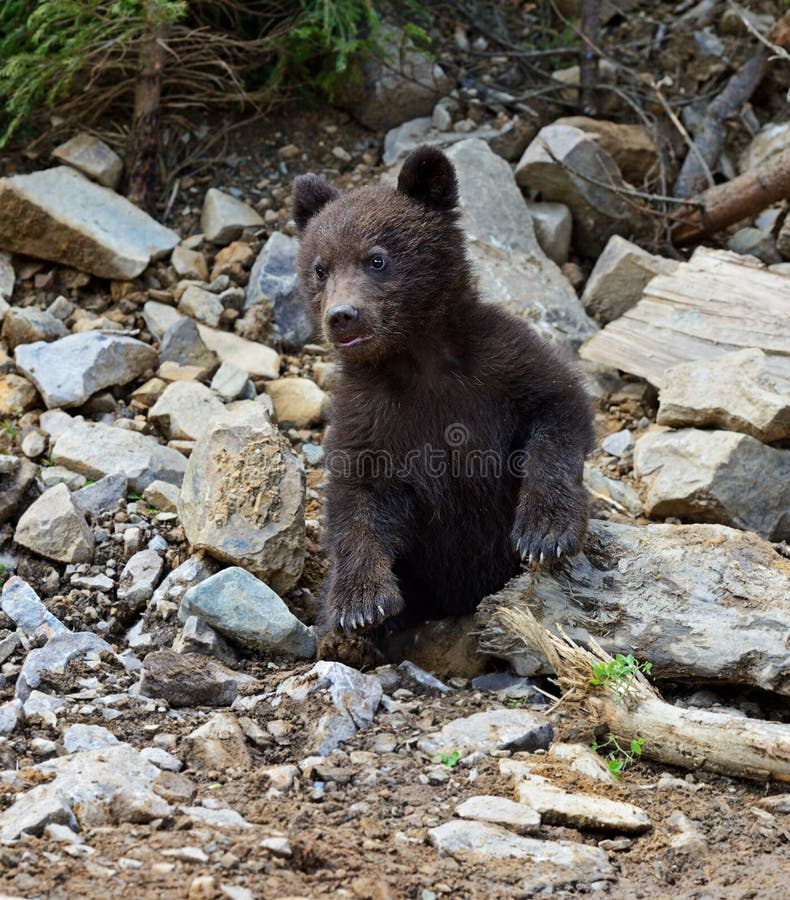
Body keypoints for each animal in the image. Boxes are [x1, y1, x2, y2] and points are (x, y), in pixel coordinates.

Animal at [292, 145, 594, 654]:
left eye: (376, 259)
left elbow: (558, 410)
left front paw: (545, 531)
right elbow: (356, 496)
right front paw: (359, 606)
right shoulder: (368, 412)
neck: (416, 356)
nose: (342, 316)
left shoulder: (501, 364)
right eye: (320, 268)